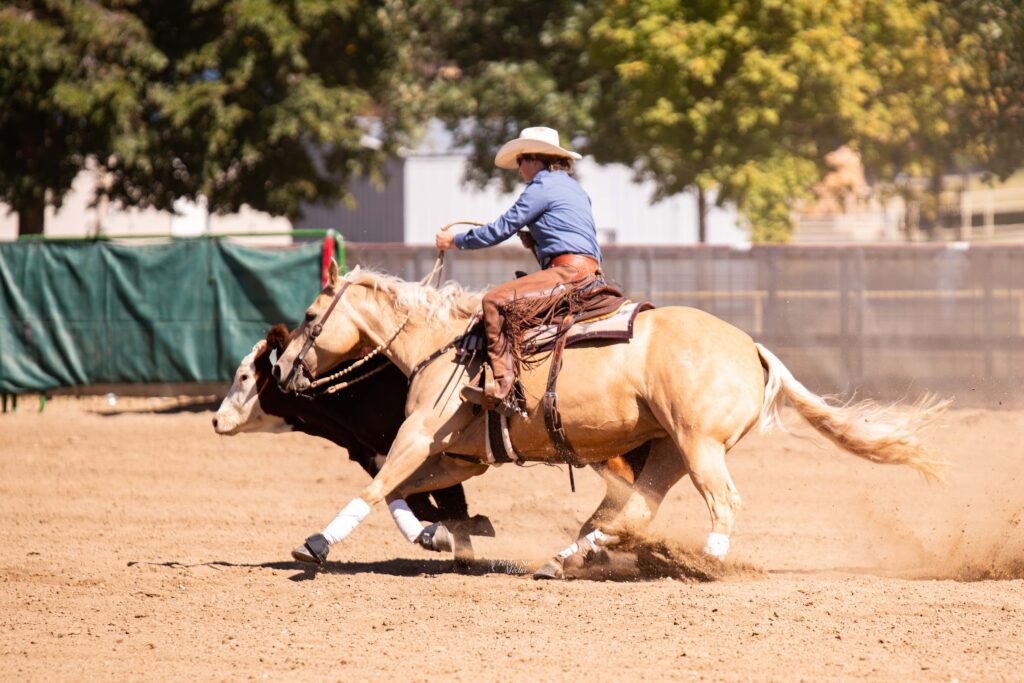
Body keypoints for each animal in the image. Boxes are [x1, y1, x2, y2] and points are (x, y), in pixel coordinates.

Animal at [272, 261, 947, 570]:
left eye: (308, 316)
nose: (282, 371)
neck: (445, 346)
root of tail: (754, 348)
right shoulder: (461, 457)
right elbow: (399, 493)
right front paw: (438, 534)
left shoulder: (418, 438)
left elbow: (378, 485)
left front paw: (315, 545)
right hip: (671, 448)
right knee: (638, 509)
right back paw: (569, 556)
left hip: (698, 445)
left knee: (720, 500)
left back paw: (705, 562)